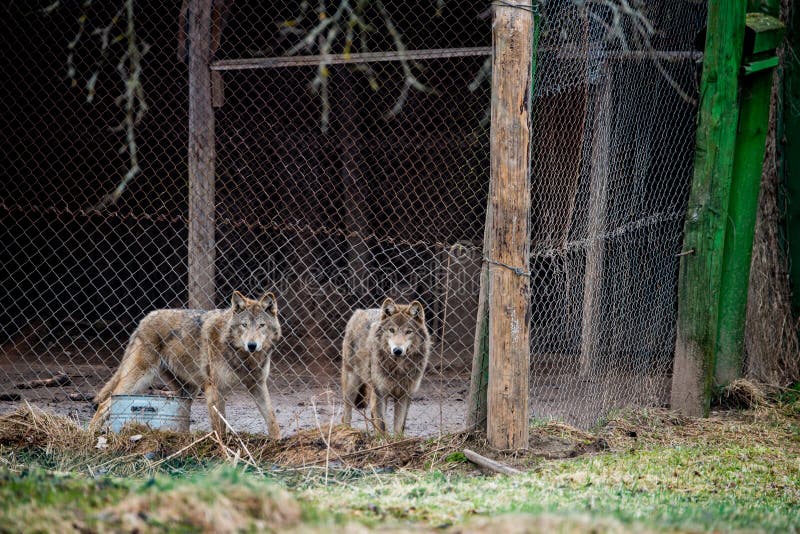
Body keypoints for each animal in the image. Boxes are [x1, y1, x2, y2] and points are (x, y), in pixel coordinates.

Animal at [89, 291, 282, 439]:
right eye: (244, 325)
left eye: (261, 325)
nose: (252, 345)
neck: (244, 356)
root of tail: (145, 319)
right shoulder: (215, 388)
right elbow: (220, 426)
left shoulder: (257, 384)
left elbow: (271, 417)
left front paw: (277, 442)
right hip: (139, 381)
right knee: (105, 404)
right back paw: (90, 434)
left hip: (188, 390)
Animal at [341, 298, 431, 435]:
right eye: (391, 330)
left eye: (408, 331)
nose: (397, 350)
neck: (398, 368)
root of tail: (360, 311)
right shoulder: (380, 393)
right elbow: (382, 425)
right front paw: (383, 440)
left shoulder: (404, 396)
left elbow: (399, 427)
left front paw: (396, 440)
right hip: (352, 383)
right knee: (346, 413)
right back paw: (346, 430)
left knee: (371, 415)